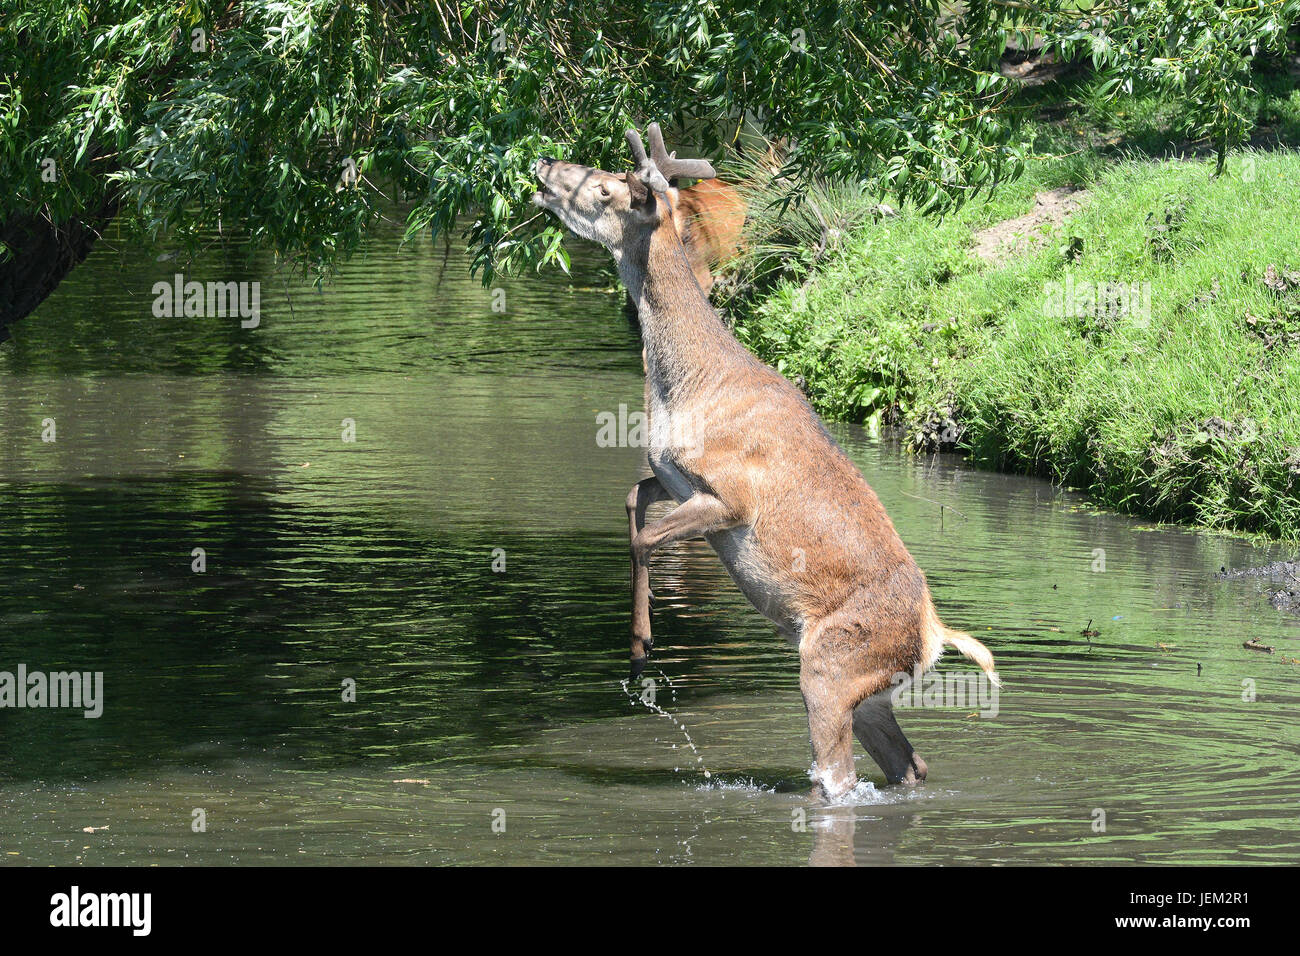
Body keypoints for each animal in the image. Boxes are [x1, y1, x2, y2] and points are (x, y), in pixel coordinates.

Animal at [532, 123, 999, 801]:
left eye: (606, 188)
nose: (543, 162)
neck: (686, 386)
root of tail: (934, 635)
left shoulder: (732, 496)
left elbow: (645, 538)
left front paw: (642, 646)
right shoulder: (674, 476)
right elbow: (633, 497)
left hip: (829, 667)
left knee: (836, 776)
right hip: (871, 694)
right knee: (909, 765)